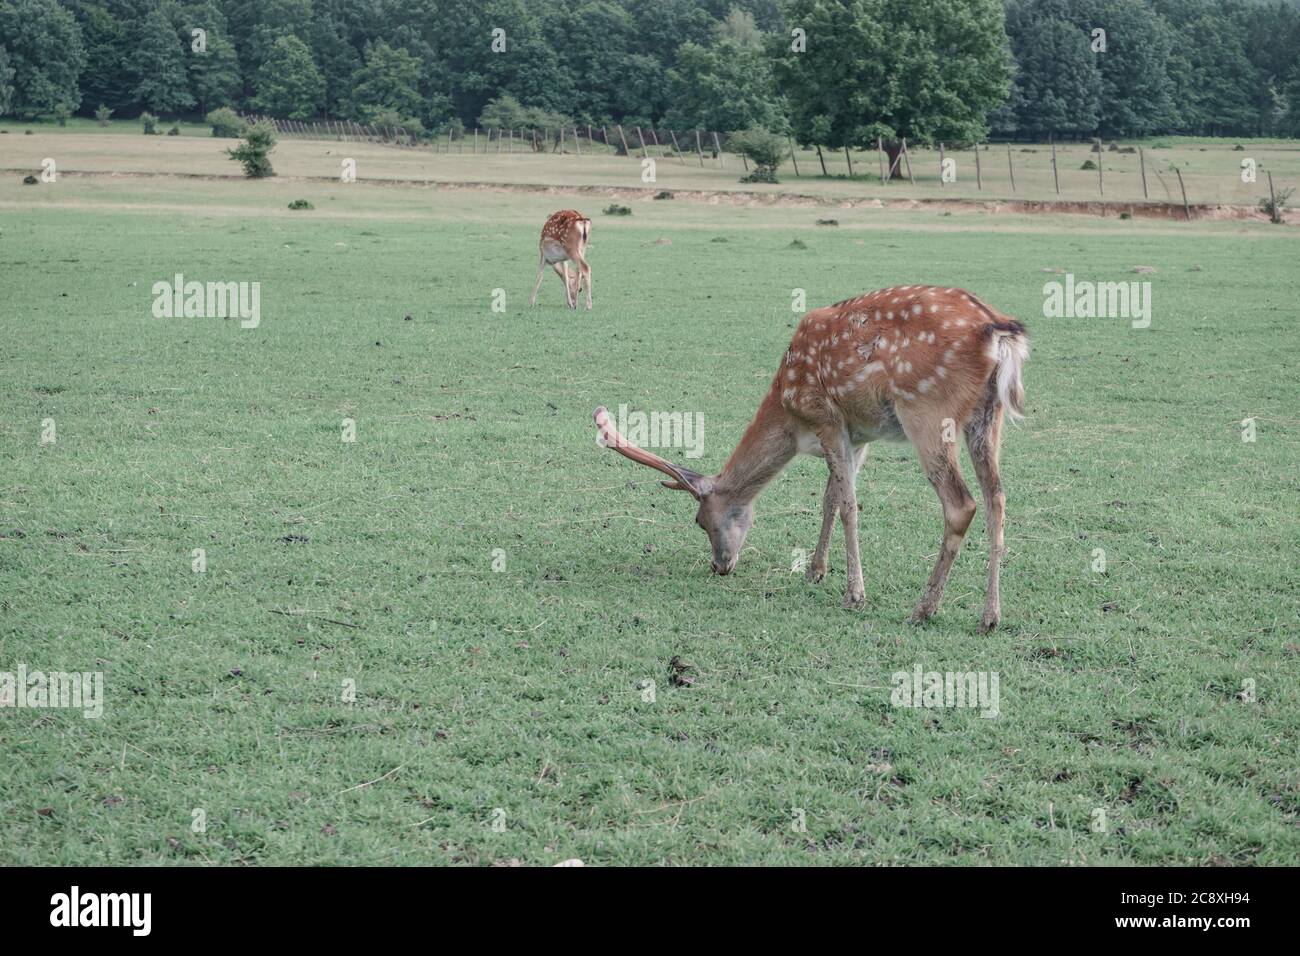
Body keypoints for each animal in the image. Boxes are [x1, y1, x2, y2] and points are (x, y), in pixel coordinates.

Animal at [593, 286, 1029, 632]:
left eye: (700, 521)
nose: (719, 566)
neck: (789, 413)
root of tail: (998, 331)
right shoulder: (859, 435)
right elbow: (830, 498)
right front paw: (815, 571)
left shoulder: (826, 417)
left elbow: (849, 504)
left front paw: (854, 594)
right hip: (988, 417)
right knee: (997, 498)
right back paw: (990, 617)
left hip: (926, 410)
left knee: (962, 504)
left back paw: (924, 609)